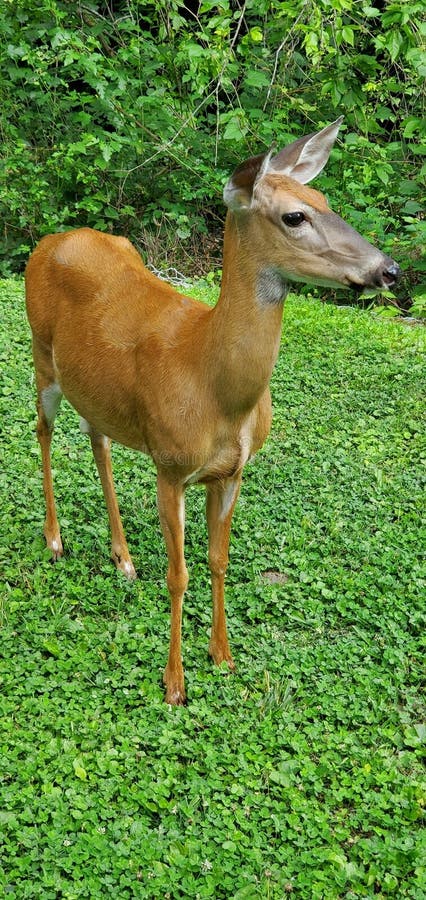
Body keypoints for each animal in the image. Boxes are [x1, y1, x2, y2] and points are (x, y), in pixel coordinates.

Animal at [25, 118, 400, 704]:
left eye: (324, 199)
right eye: (295, 216)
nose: (390, 270)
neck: (214, 388)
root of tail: (49, 240)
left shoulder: (231, 472)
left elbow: (218, 560)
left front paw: (222, 657)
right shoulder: (170, 464)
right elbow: (178, 574)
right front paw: (174, 683)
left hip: (96, 390)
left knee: (97, 437)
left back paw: (122, 556)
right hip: (42, 356)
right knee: (42, 430)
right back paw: (55, 539)